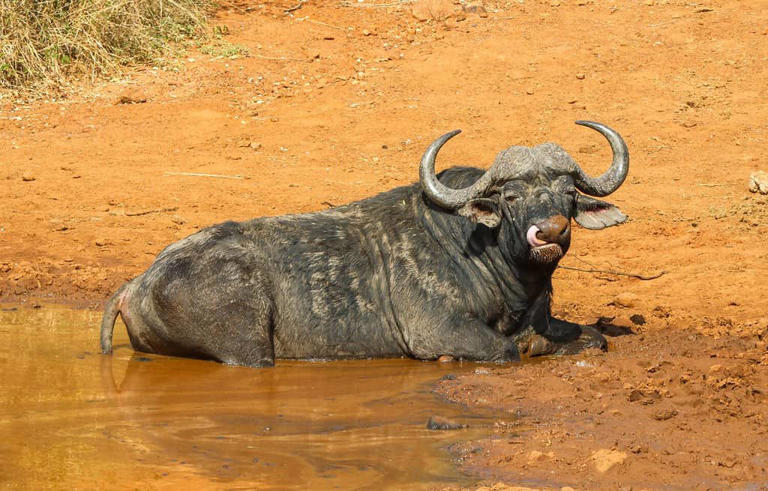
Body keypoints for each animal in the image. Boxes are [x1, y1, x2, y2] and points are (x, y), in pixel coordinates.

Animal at [101, 121, 630, 367]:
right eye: (511, 195)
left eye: (567, 192)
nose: (551, 232)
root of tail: (137, 283)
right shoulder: (437, 330)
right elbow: (507, 349)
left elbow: (594, 336)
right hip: (249, 350)